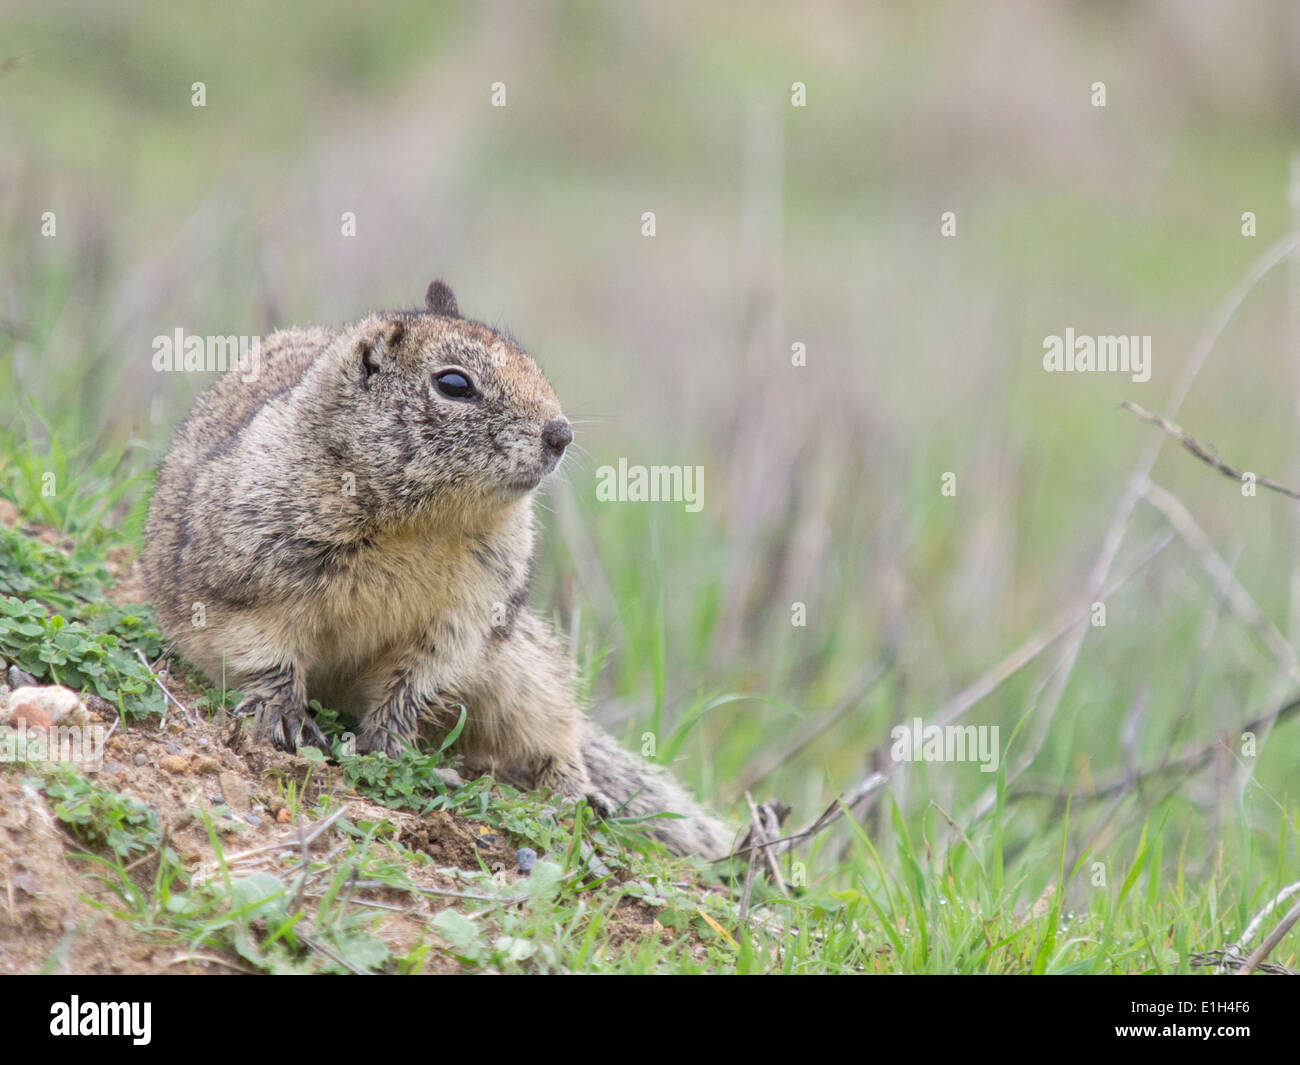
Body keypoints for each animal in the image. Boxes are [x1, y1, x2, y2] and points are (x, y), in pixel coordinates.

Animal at [140, 281, 735, 860]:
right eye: (454, 384)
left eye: (532, 365)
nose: (561, 435)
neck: (424, 524)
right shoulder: (249, 574)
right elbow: (263, 652)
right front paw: (284, 719)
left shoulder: (464, 616)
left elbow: (416, 681)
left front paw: (387, 745)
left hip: (525, 672)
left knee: (556, 733)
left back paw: (578, 793)